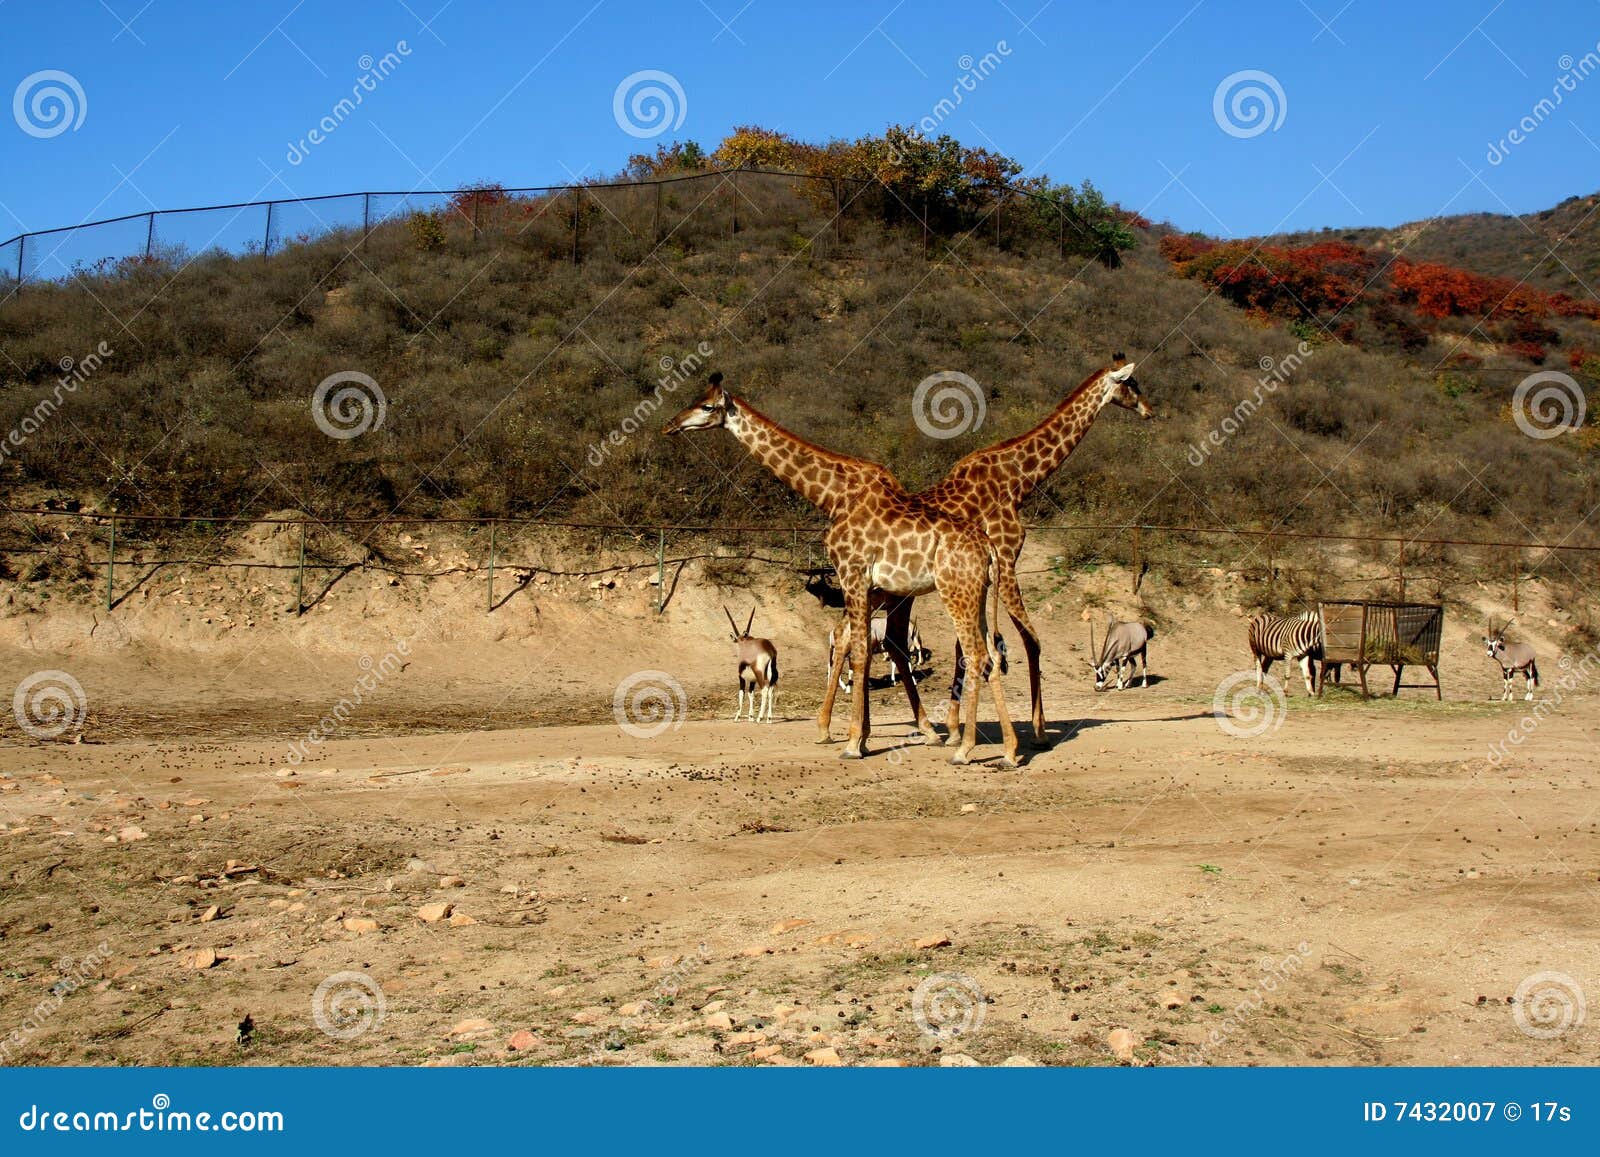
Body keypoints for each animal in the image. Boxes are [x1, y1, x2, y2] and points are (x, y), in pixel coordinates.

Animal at [663, 373, 1020, 767]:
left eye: (707, 406)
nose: (670, 425)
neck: (832, 495)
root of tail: (988, 549)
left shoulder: (852, 574)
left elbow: (859, 653)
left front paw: (852, 744)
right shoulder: (865, 584)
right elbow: (858, 650)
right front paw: (861, 738)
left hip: (955, 590)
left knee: (975, 654)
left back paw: (964, 749)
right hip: (978, 593)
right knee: (991, 654)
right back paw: (1009, 751)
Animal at [822, 358, 1154, 747]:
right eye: (1131, 384)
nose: (1149, 410)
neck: (1018, 480)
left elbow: (966, 648)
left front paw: (955, 729)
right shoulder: (1008, 560)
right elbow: (1029, 640)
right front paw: (1037, 729)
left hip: (884, 590)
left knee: (848, 634)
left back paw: (836, 727)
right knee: (855, 636)